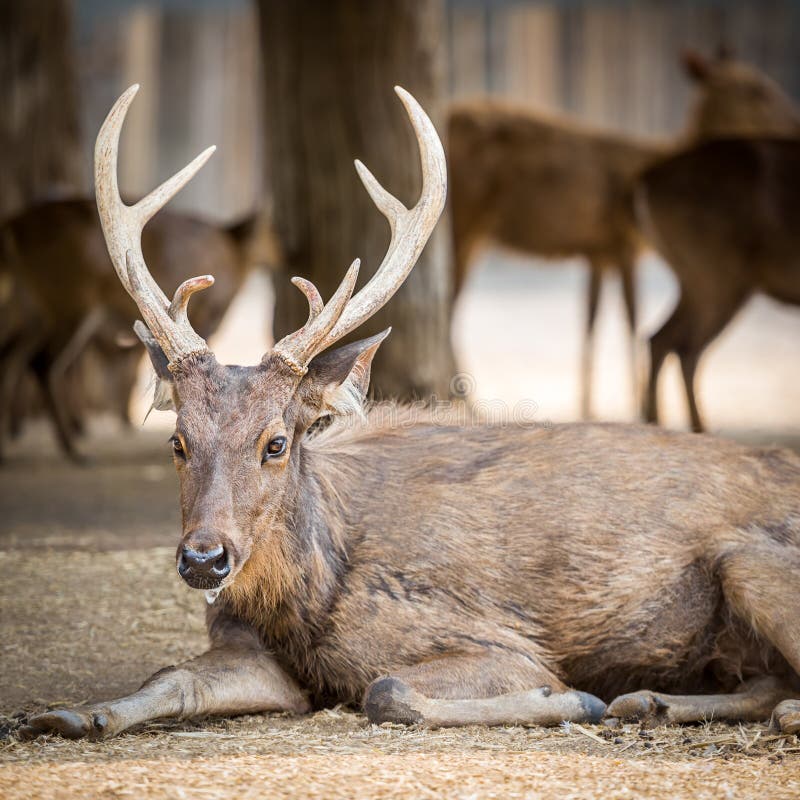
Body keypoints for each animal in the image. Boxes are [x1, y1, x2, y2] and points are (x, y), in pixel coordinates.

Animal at [0, 197, 273, 461]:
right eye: (272, 230)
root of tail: (11, 225)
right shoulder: (205, 314)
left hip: (33, 308)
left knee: (16, 354)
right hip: (68, 303)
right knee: (44, 363)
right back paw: (71, 449)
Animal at [637, 136, 800, 433]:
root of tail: (645, 182)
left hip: (696, 279)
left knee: (661, 337)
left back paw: (660, 423)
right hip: (718, 275)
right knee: (686, 347)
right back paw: (696, 428)